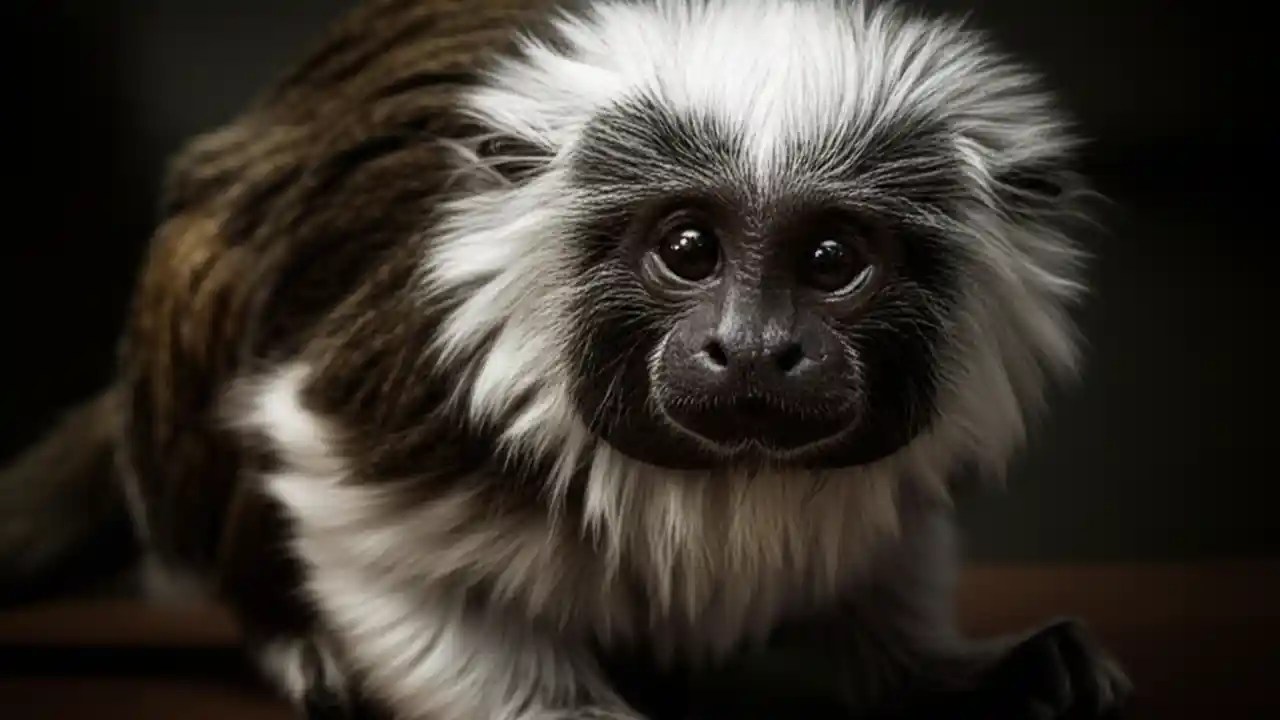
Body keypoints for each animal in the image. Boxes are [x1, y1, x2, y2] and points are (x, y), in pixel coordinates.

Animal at [0, 0, 1132, 718]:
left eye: (830, 260)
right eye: (688, 248)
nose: (752, 348)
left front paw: (971, 670)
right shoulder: (406, 388)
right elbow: (349, 524)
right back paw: (288, 637)